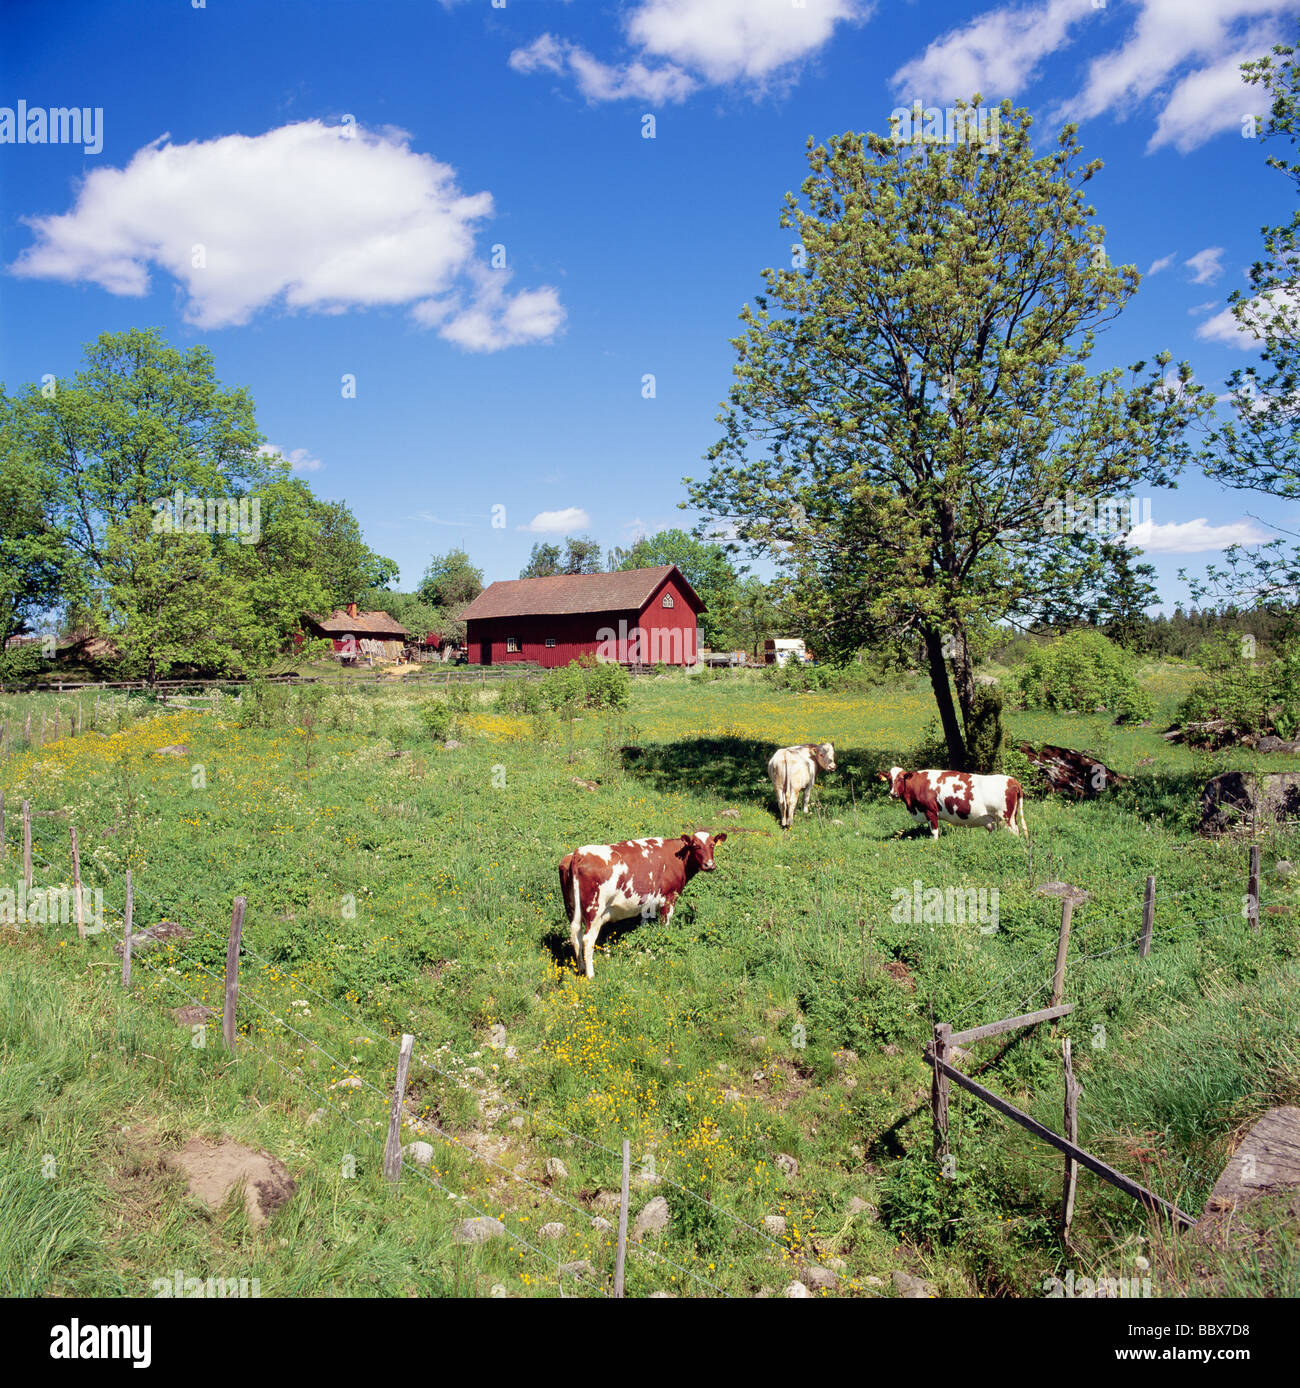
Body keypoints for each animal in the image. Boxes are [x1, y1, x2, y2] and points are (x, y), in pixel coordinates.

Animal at [557, 831, 727, 978]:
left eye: (712, 844)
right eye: (696, 845)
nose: (709, 865)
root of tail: (579, 853)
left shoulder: (647, 904)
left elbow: (644, 925)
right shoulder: (669, 898)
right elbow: (664, 928)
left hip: (572, 908)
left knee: (576, 936)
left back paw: (581, 968)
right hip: (594, 911)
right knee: (587, 940)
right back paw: (590, 974)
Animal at [881, 766, 1029, 840]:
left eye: (901, 778)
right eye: (889, 779)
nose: (893, 794)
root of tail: (1012, 780)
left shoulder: (930, 811)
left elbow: (934, 832)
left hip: (1006, 818)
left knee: (1015, 833)